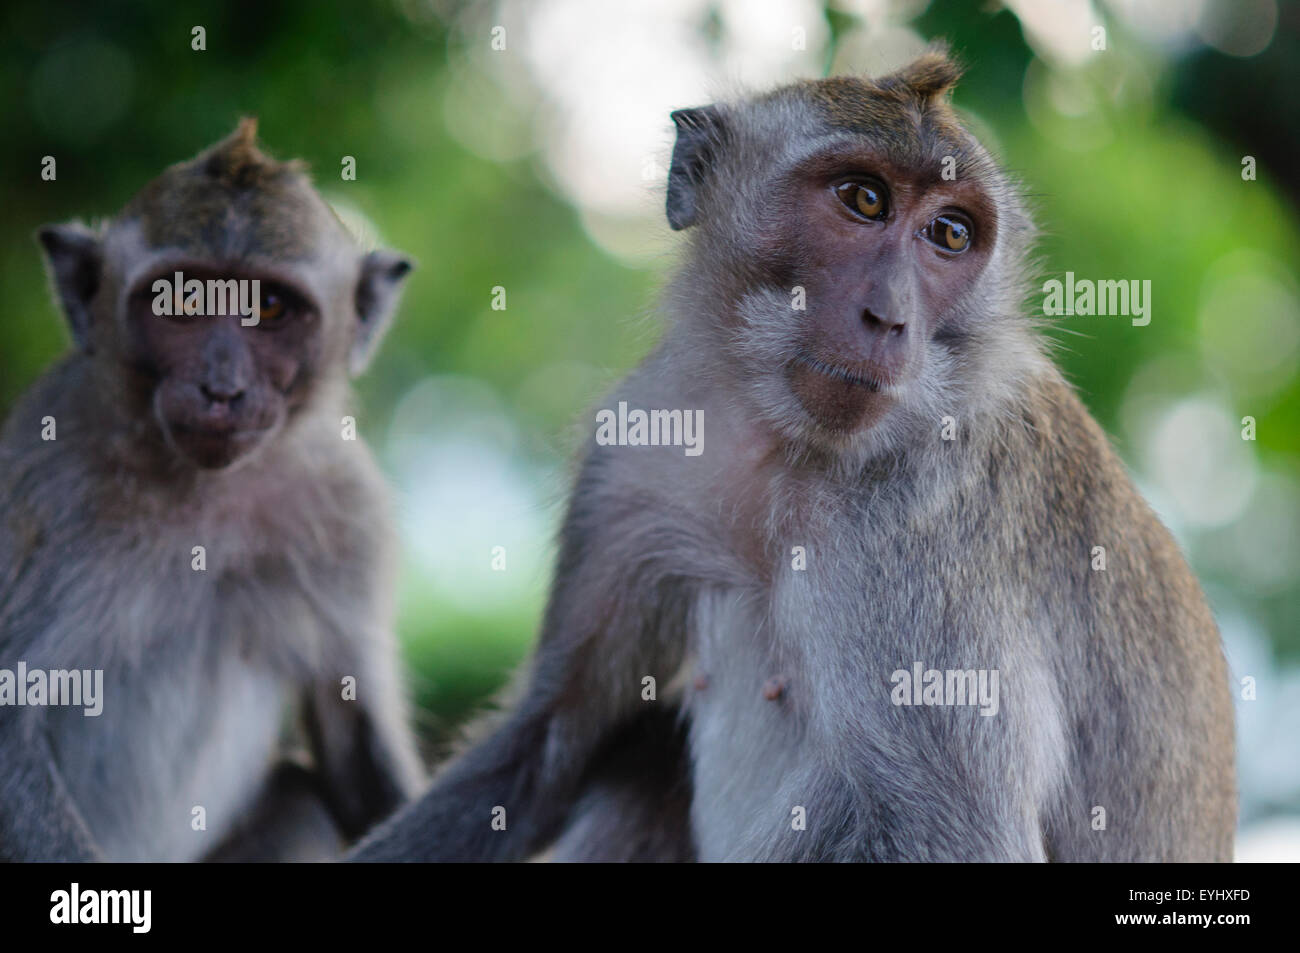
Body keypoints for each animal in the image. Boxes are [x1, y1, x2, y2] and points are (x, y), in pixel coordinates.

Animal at [0, 119, 422, 862]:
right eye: (184, 299)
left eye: (271, 306)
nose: (221, 388)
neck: (205, 487)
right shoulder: (46, 486)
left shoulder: (348, 509)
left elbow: (351, 737)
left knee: (304, 799)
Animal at [350, 48, 1236, 863]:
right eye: (864, 199)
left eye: (950, 234)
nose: (890, 317)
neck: (790, 446)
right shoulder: (637, 451)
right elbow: (549, 733)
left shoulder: (919, 533)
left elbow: (955, 832)